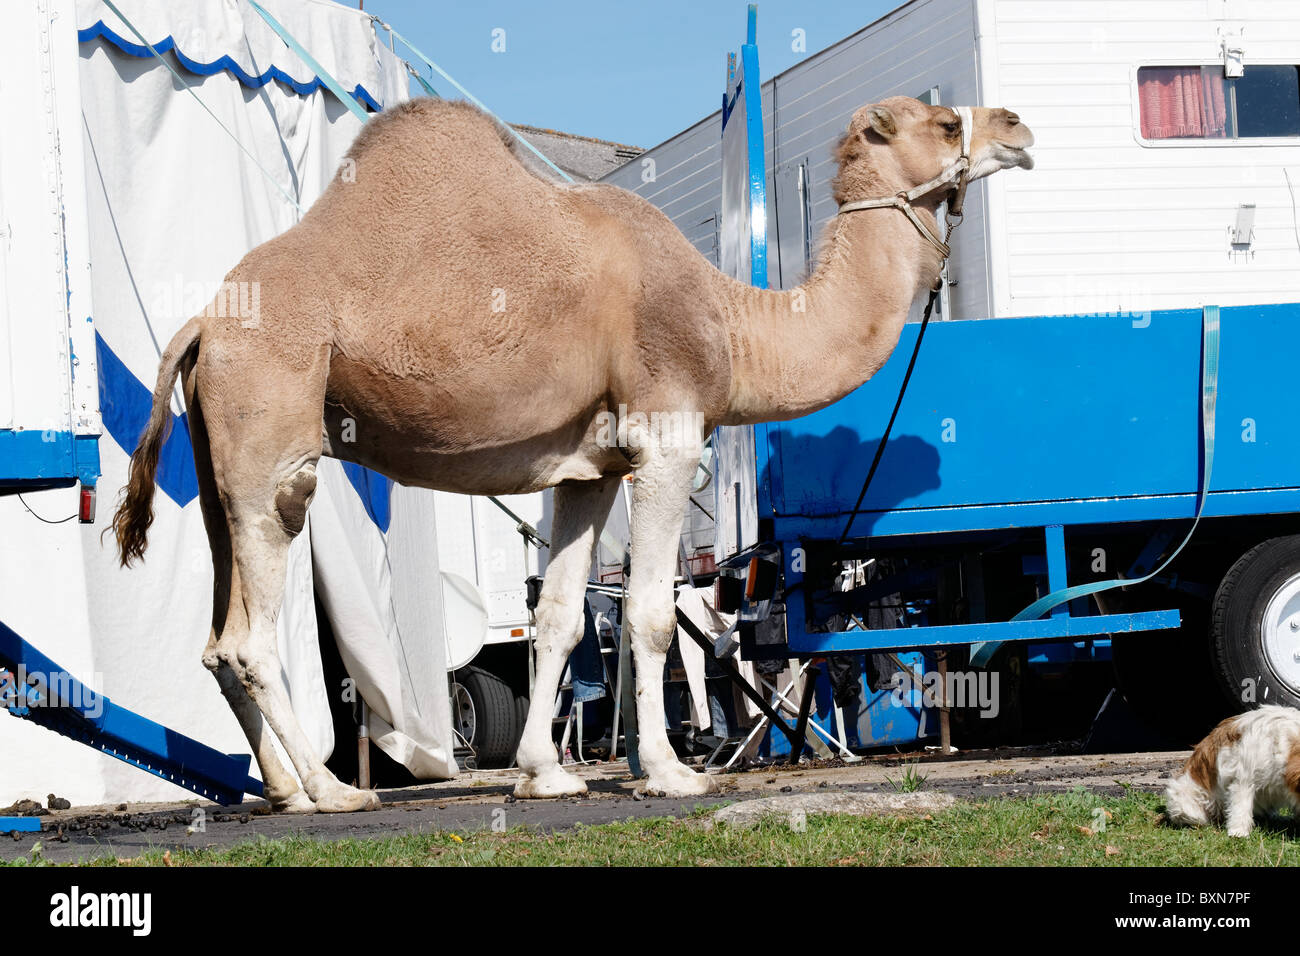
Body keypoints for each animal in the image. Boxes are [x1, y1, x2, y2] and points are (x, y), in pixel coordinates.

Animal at [112, 95, 1033, 812]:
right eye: (943, 119)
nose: (1018, 126)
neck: (733, 323)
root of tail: (202, 324)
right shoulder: (666, 436)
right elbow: (652, 615)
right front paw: (669, 772)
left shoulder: (589, 469)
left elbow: (558, 619)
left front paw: (544, 775)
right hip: (275, 439)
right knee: (251, 635)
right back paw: (333, 790)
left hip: (219, 462)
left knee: (218, 636)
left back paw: (282, 789)